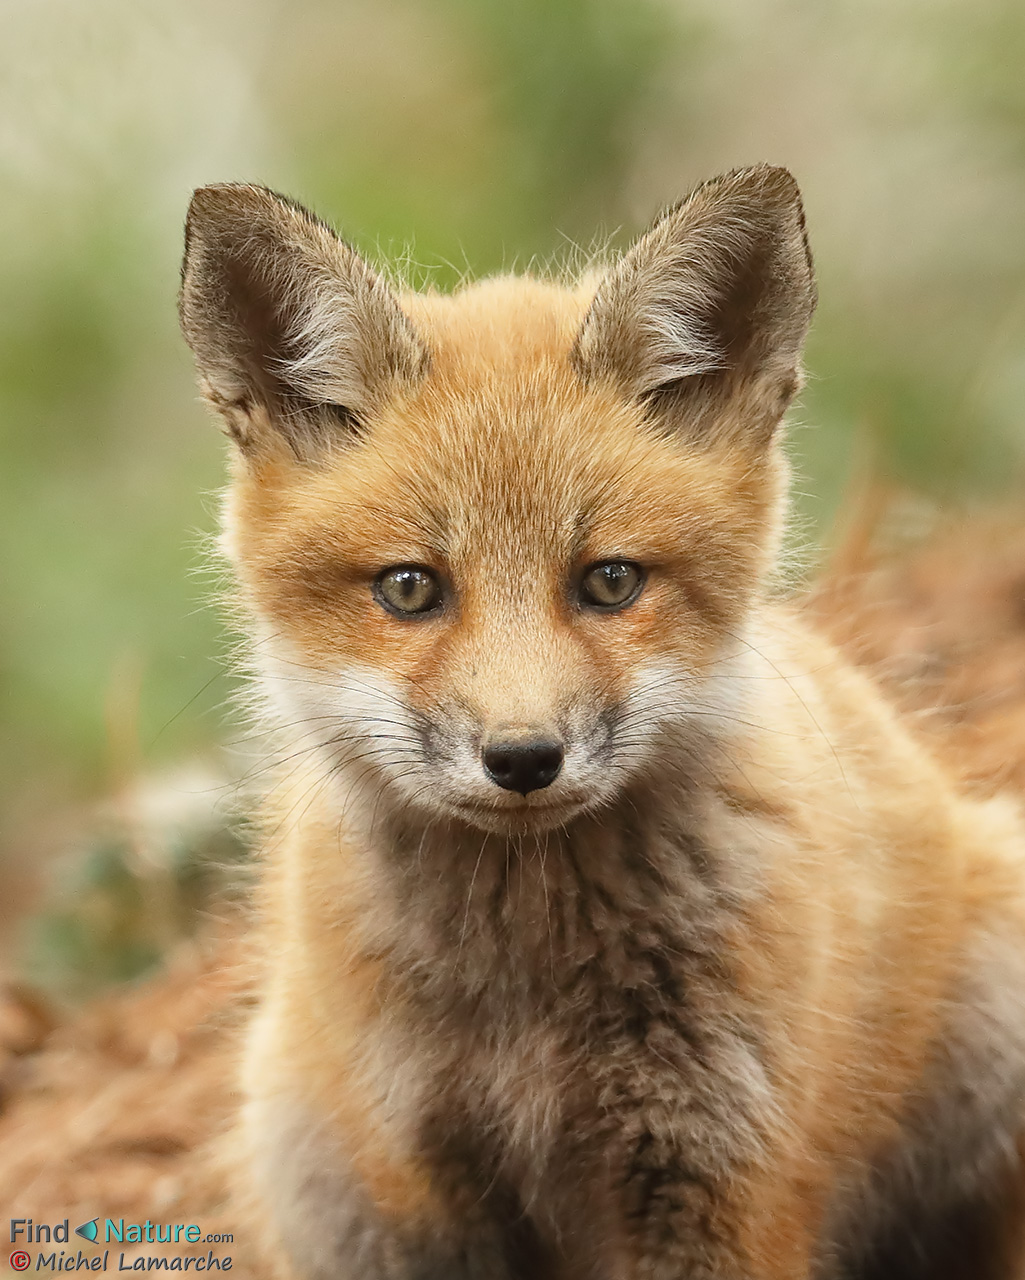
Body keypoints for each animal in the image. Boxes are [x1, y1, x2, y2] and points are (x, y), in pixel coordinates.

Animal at [179, 165, 1025, 1280]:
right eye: (409, 588)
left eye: (610, 581)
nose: (522, 757)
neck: (528, 993)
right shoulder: (433, 1182)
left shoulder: (715, 1173)